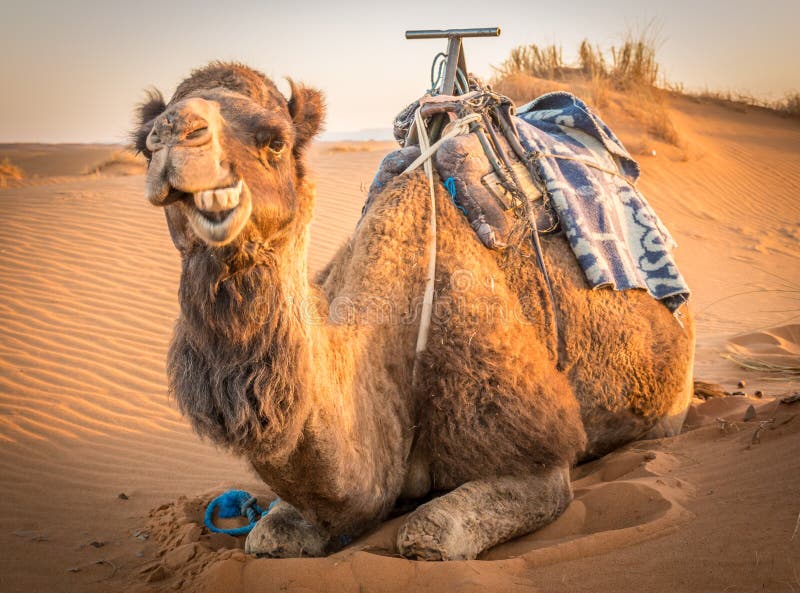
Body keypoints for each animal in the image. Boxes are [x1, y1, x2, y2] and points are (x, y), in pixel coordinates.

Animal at [132, 62, 695, 561]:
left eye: (275, 140)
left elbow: (429, 534)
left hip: (669, 406)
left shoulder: (541, 456)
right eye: (144, 146)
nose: (174, 133)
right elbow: (267, 536)